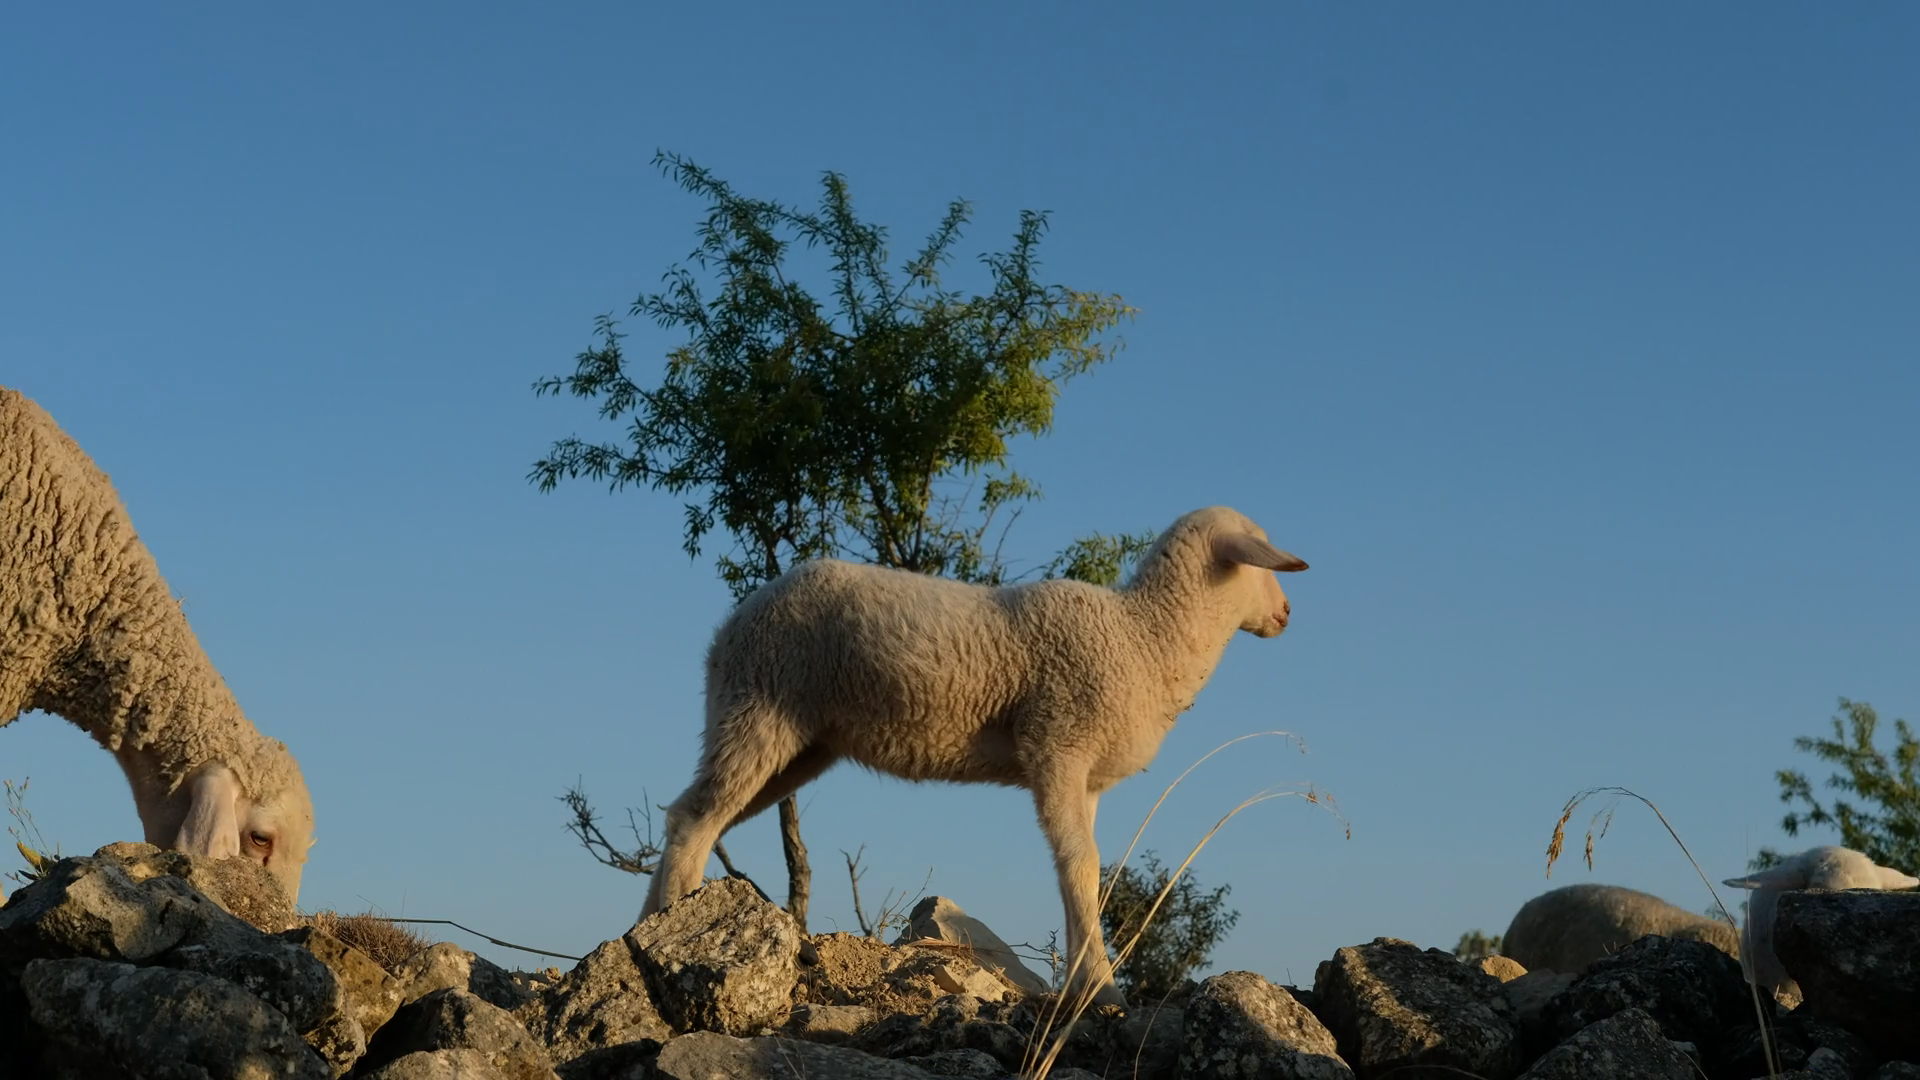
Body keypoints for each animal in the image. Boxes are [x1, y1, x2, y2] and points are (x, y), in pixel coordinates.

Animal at [639, 505, 1308, 1008]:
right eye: (1261, 556)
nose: (1286, 613)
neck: (1145, 635)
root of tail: (727, 630)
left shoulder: (1085, 777)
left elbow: (1082, 874)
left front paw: (1080, 981)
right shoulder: (1056, 745)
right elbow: (1081, 864)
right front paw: (1102, 989)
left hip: (797, 745)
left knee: (695, 817)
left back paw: (646, 928)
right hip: (758, 708)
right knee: (694, 818)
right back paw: (670, 923)